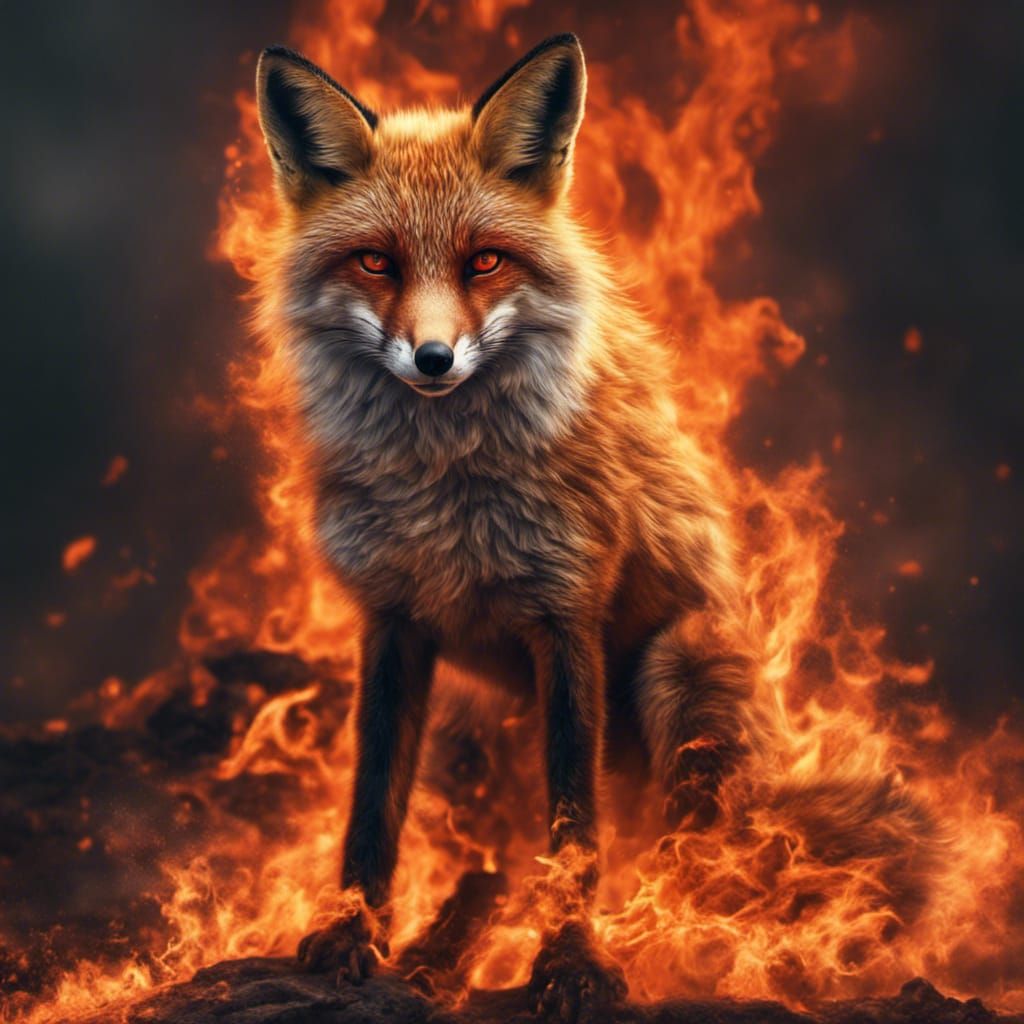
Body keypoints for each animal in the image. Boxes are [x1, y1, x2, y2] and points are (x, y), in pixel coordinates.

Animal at [254, 33, 755, 1020]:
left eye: (484, 262)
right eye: (376, 262)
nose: (434, 357)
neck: (444, 499)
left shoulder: (568, 619)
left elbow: (574, 831)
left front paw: (570, 962)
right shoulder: (394, 624)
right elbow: (372, 808)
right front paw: (351, 935)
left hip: (675, 676)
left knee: (674, 854)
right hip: (475, 720)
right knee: (483, 866)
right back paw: (439, 950)